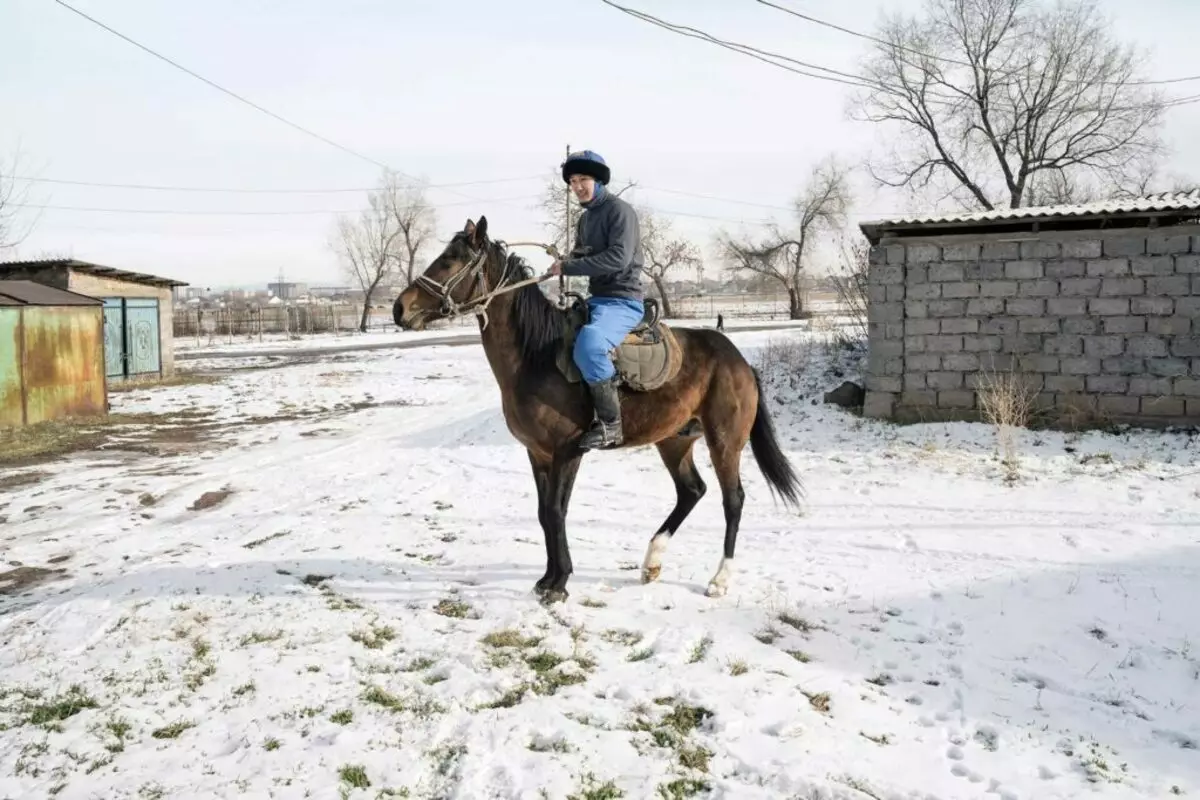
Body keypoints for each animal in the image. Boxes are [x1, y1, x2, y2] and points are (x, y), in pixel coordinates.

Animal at [396, 215, 806, 604]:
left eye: (451, 259)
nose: (401, 308)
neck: (535, 356)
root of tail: (739, 360)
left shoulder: (567, 451)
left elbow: (556, 511)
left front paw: (559, 583)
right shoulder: (538, 454)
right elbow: (544, 514)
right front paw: (546, 580)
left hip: (725, 442)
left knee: (732, 500)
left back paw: (719, 580)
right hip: (674, 440)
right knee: (692, 491)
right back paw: (651, 562)